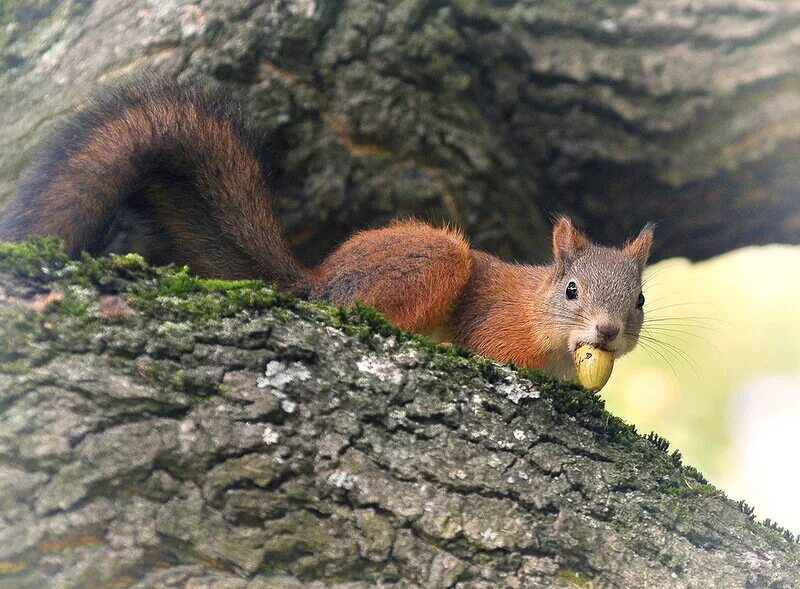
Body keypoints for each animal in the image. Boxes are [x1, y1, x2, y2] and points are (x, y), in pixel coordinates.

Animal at [0, 76, 652, 378]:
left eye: (641, 299)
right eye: (571, 290)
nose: (607, 330)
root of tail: (319, 283)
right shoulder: (498, 329)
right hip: (433, 261)